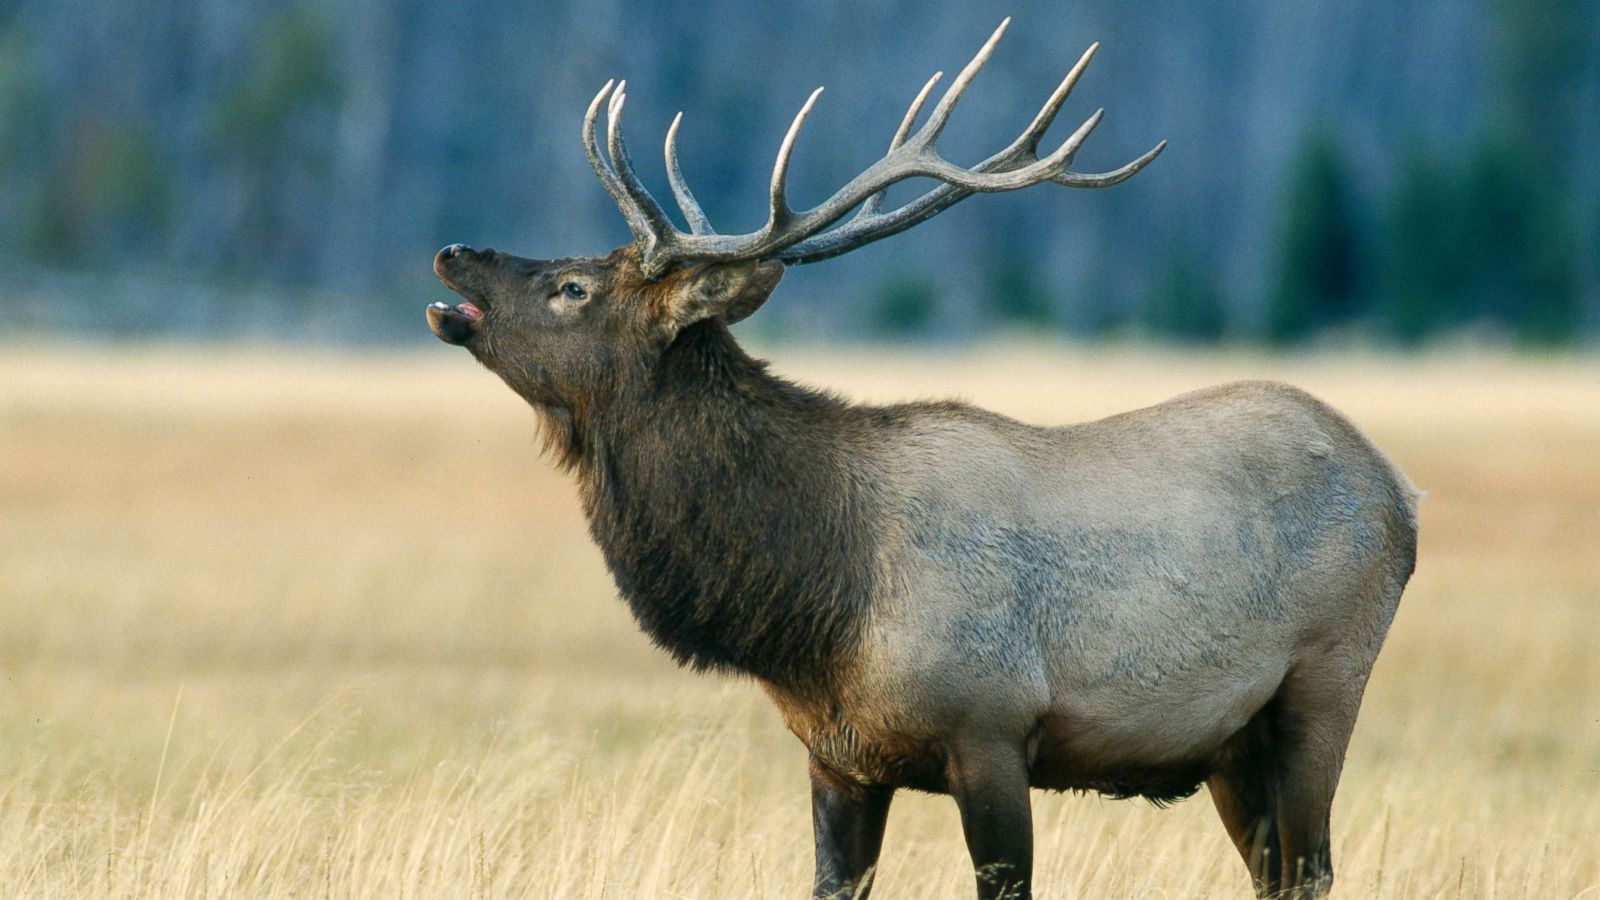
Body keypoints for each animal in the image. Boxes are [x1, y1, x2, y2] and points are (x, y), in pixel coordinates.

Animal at [425, 19, 1418, 900]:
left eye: (572, 288)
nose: (453, 252)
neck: (816, 606)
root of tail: (1400, 488)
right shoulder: (838, 758)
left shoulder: (990, 725)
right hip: (1230, 743)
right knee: (1277, 872)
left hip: (1324, 680)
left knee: (1311, 865)